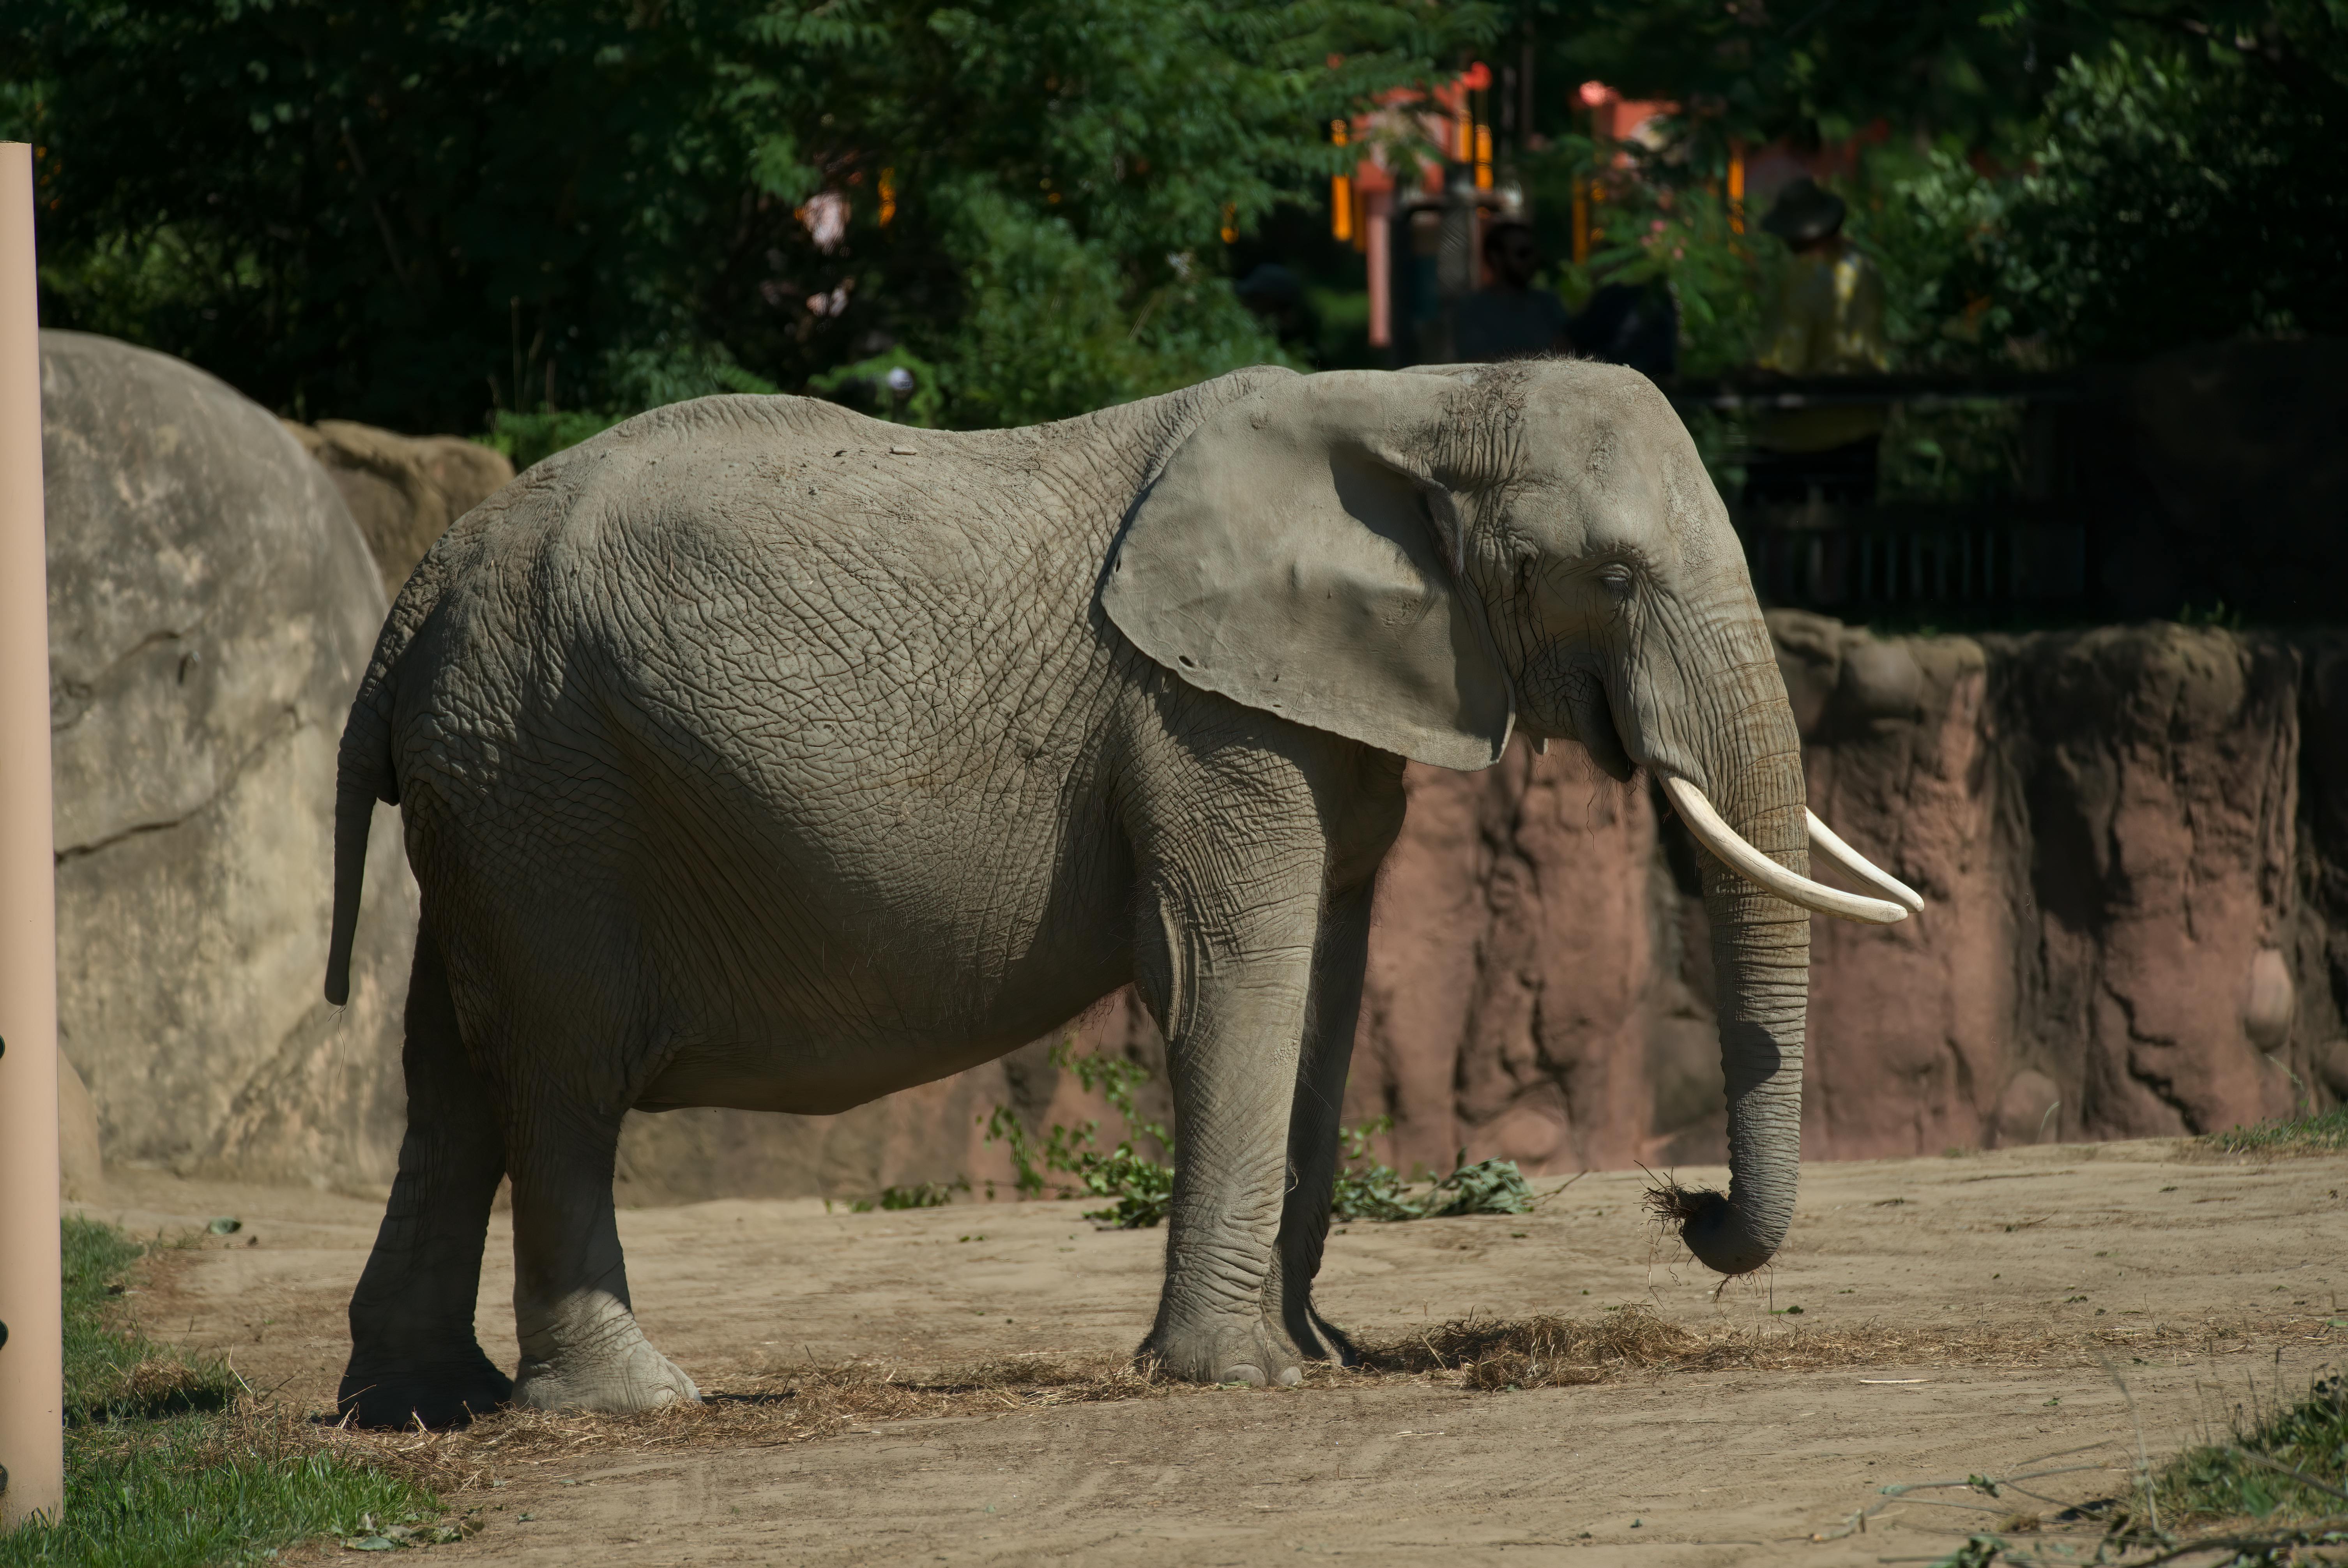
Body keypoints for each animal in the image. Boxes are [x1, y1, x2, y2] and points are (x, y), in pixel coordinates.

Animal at [325, 359, 1919, 1427]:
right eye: (1607, 574)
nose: (1681, 1204)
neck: (1414, 401)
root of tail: (414, 598)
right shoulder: (1200, 715)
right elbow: (1236, 979)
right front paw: (1244, 1378)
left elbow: (1326, 996)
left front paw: (1318, 1354)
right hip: (542, 776)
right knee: (560, 1071)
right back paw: (635, 1402)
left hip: (494, 787)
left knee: (450, 1073)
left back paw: (417, 1402)